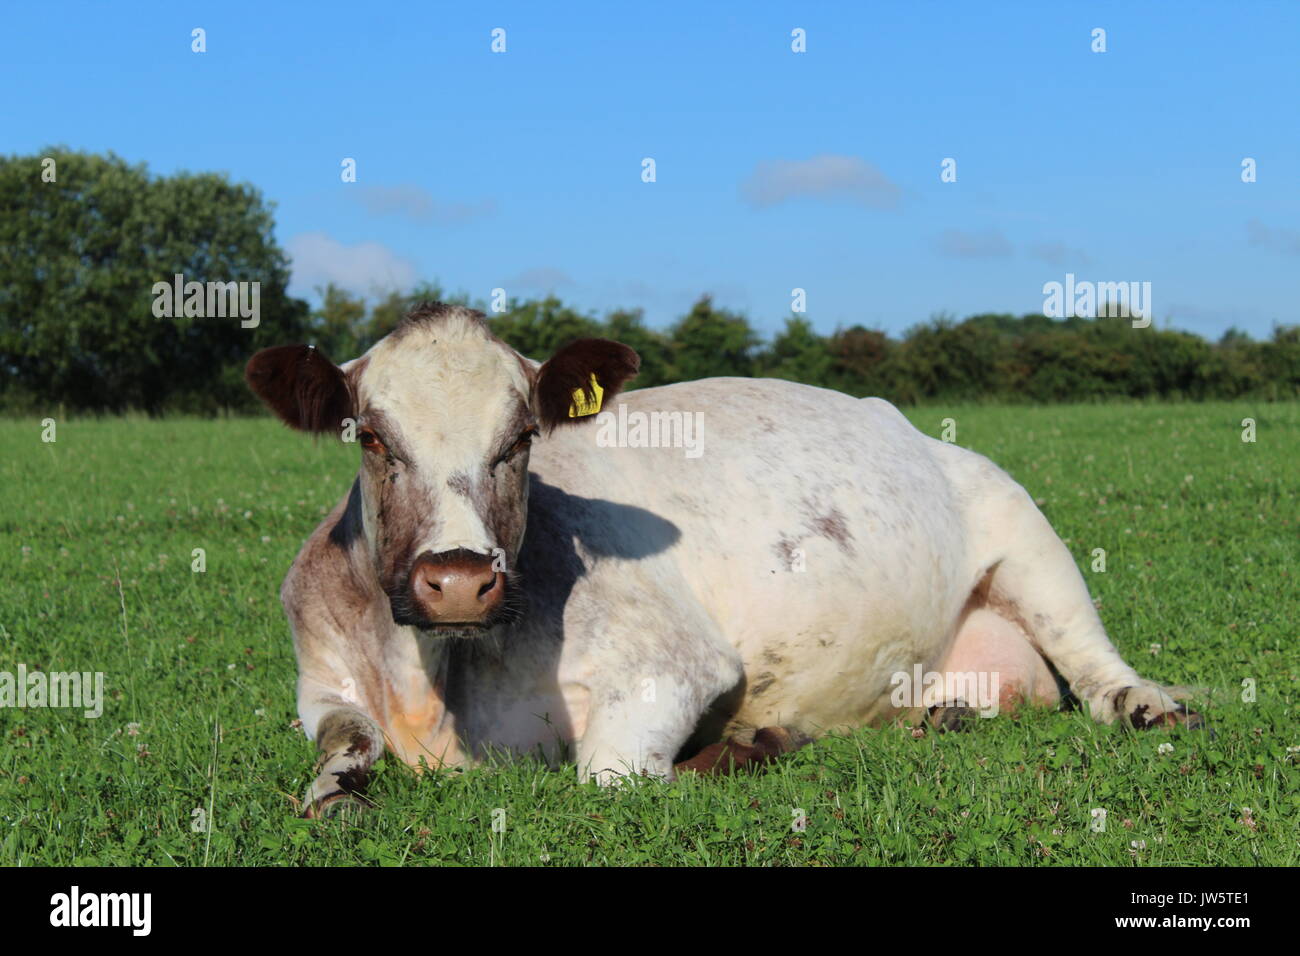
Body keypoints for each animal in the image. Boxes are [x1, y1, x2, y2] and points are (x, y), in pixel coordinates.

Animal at [245, 303, 1198, 817]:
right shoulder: (319, 678)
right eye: (370, 436)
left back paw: (1150, 706)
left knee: (1096, 666)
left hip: (1023, 530)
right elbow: (339, 751)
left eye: (520, 440)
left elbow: (610, 775)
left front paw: (751, 745)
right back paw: (943, 716)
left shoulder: (673, 662)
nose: (456, 581)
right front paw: (334, 793)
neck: (435, 685)